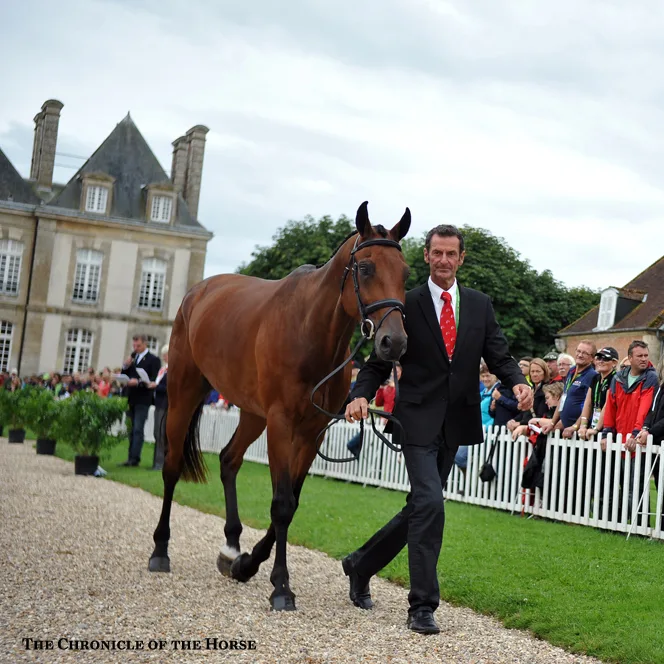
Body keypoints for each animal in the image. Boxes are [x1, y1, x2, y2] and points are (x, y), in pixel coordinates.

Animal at [148, 201, 411, 611]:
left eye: (405, 272)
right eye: (366, 268)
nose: (393, 342)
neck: (310, 333)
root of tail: (199, 291)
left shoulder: (311, 432)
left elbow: (291, 500)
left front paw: (247, 564)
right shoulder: (281, 422)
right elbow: (282, 503)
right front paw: (281, 587)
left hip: (251, 413)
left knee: (229, 459)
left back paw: (231, 545)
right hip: (184, 392)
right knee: (172, 466)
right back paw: (160, 550)